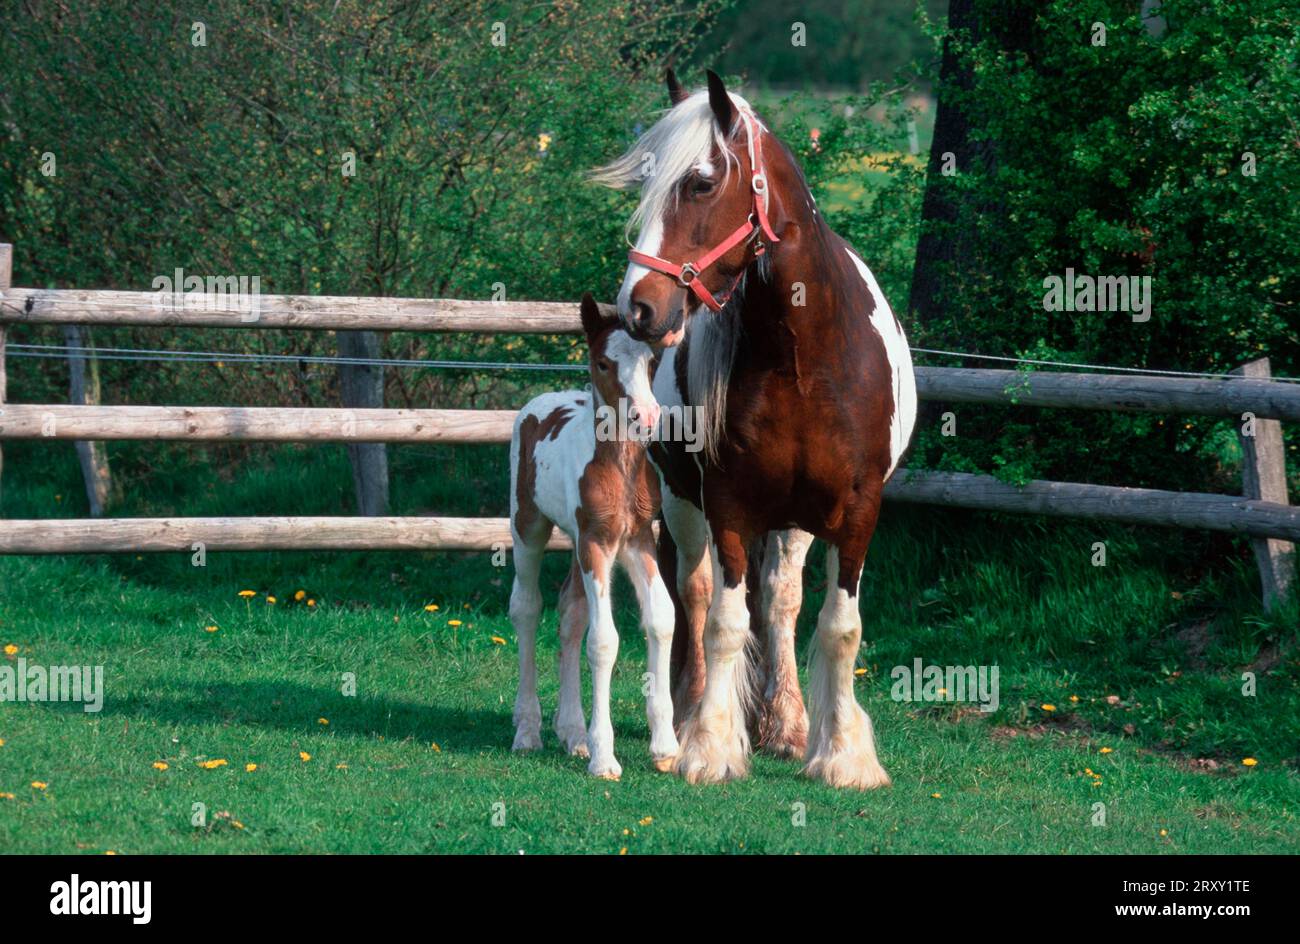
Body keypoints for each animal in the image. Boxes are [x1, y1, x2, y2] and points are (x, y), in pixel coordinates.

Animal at [509, 293, 679, 780]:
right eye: (604, 362)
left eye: (652, 361)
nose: (647, 417)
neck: (619, 465)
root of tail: (542, 401)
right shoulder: (597, 543)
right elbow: (604, 640)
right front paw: (605, 756)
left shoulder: (638, 539)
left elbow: (662, 617)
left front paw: (666, 746)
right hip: (528, 525)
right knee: (526, 607)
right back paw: (528, 731)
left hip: (574, 538)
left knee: (569, 613)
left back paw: (572, 734)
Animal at [593, 70, 917, 789]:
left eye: (702, 182)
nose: (638, 308)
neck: (802, 355)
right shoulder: (730, 506)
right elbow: (721, 621)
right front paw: (710, 744)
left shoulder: (857, 510)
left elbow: (837, 626)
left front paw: (842, 754)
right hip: (685, 502)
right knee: (696, 592)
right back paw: (690, 710)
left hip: (795, 520)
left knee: (781, 601)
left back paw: (787, 724)